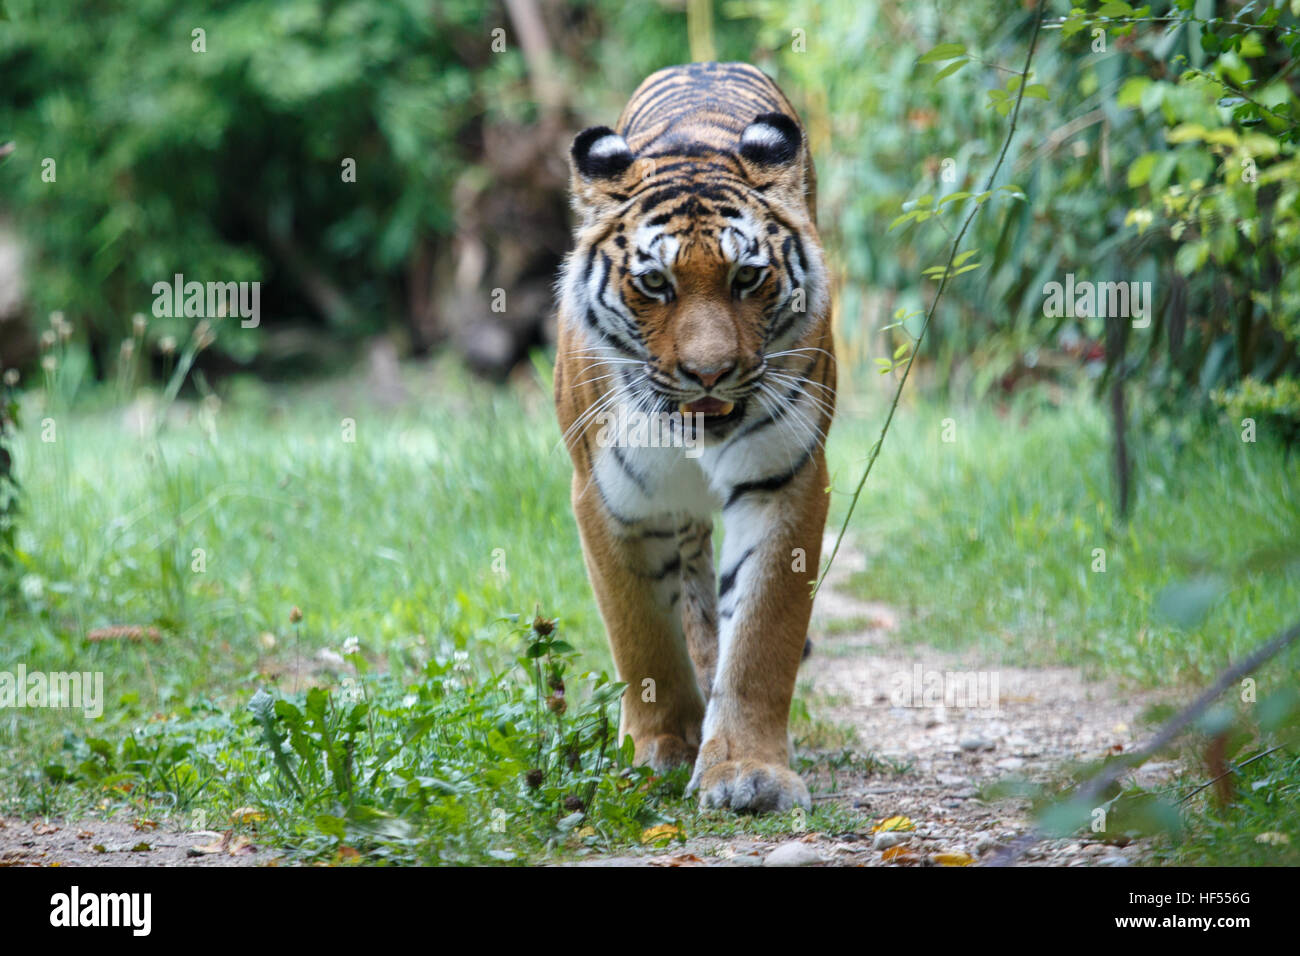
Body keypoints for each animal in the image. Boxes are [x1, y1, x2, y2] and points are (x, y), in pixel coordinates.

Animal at [554, 61, 835, 813]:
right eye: (655, 283)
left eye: (748, 277)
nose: (709, 372)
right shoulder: (607, 498)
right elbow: (641, 636)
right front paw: (660, 749)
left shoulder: (785, 480)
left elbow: (761, 635)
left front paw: (747, 770)